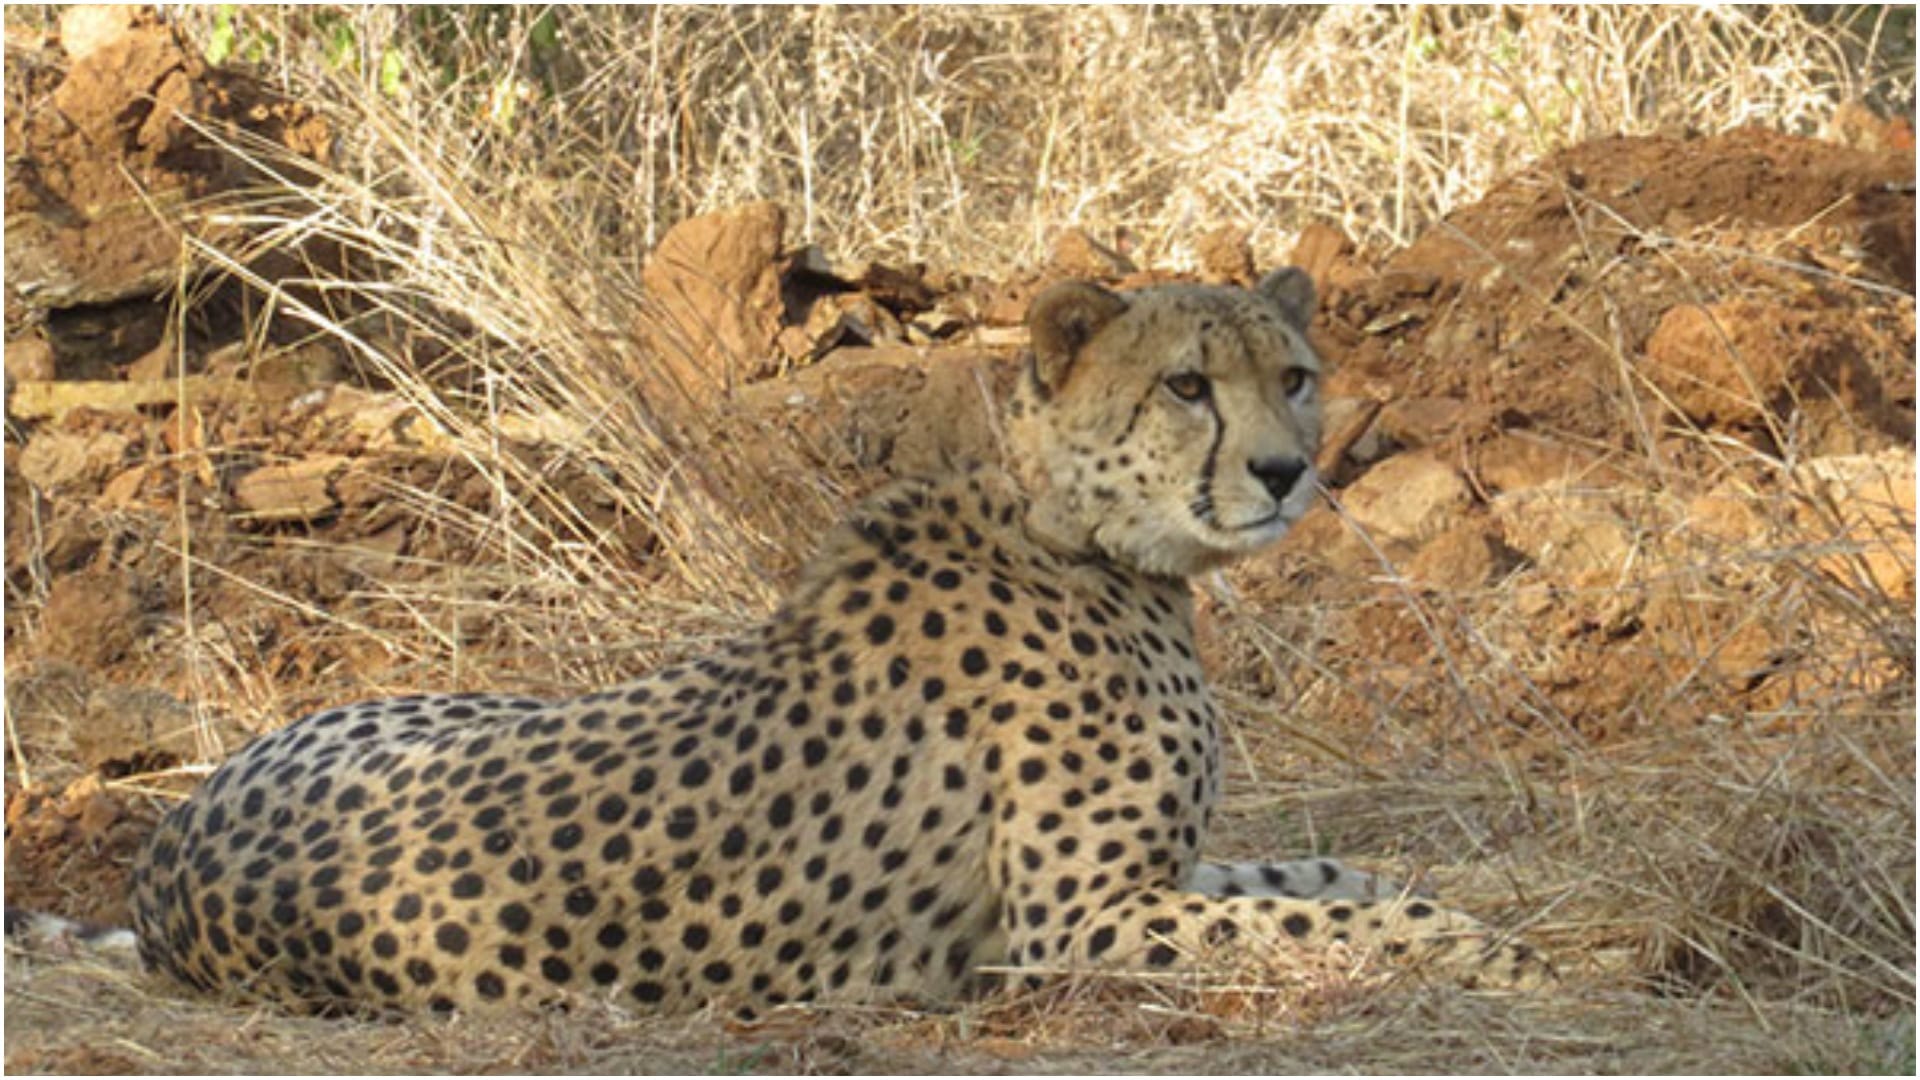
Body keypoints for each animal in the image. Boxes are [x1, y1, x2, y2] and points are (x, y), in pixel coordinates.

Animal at [124, 268, 1552, 1018]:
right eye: (1187, 387)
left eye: (1294, 375)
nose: (1284, 471)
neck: (1080, 535)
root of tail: (162, 859)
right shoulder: (1070, 923)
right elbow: (1317, 919)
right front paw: (1484, 954)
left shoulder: (1156, 876)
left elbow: (1328, 876)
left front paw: (1457, 914)